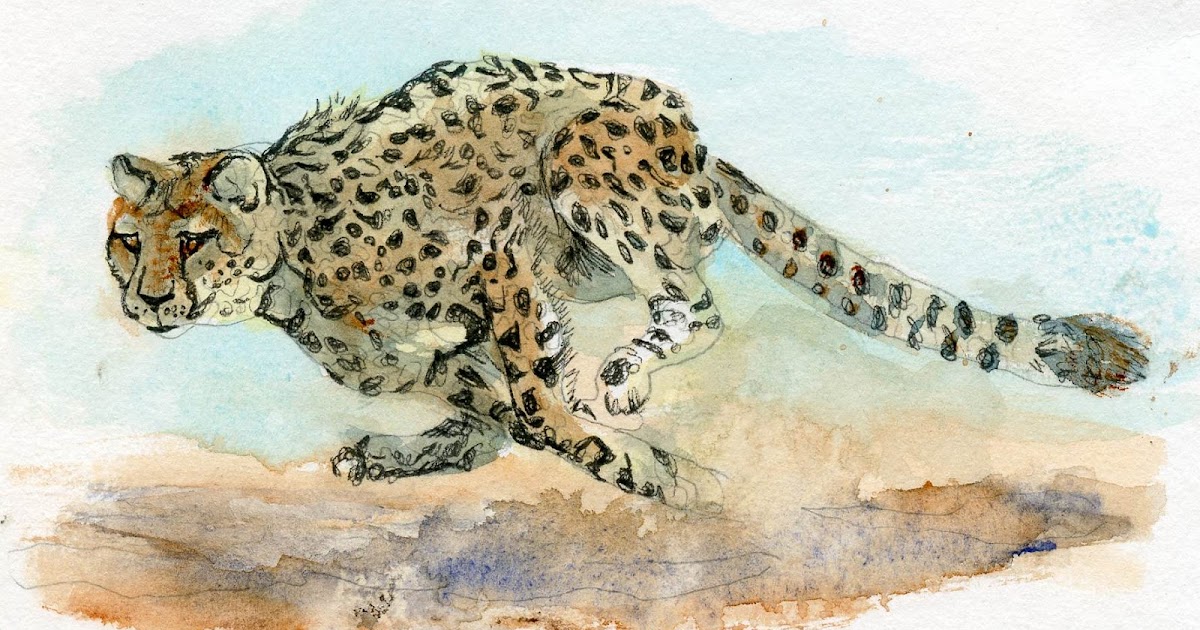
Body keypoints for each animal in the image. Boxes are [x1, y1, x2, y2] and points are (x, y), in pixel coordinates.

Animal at [105, 55, 1150, 512]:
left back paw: (626, 372)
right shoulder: (439, 356)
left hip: (581, 162)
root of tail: (690, 130)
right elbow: (497, 423)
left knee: (701, 306)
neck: (290, 271)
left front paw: (656, 471)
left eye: (191, 241)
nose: (143, 298)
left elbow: (536, 408)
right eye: (125, 242)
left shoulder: (498, 260)